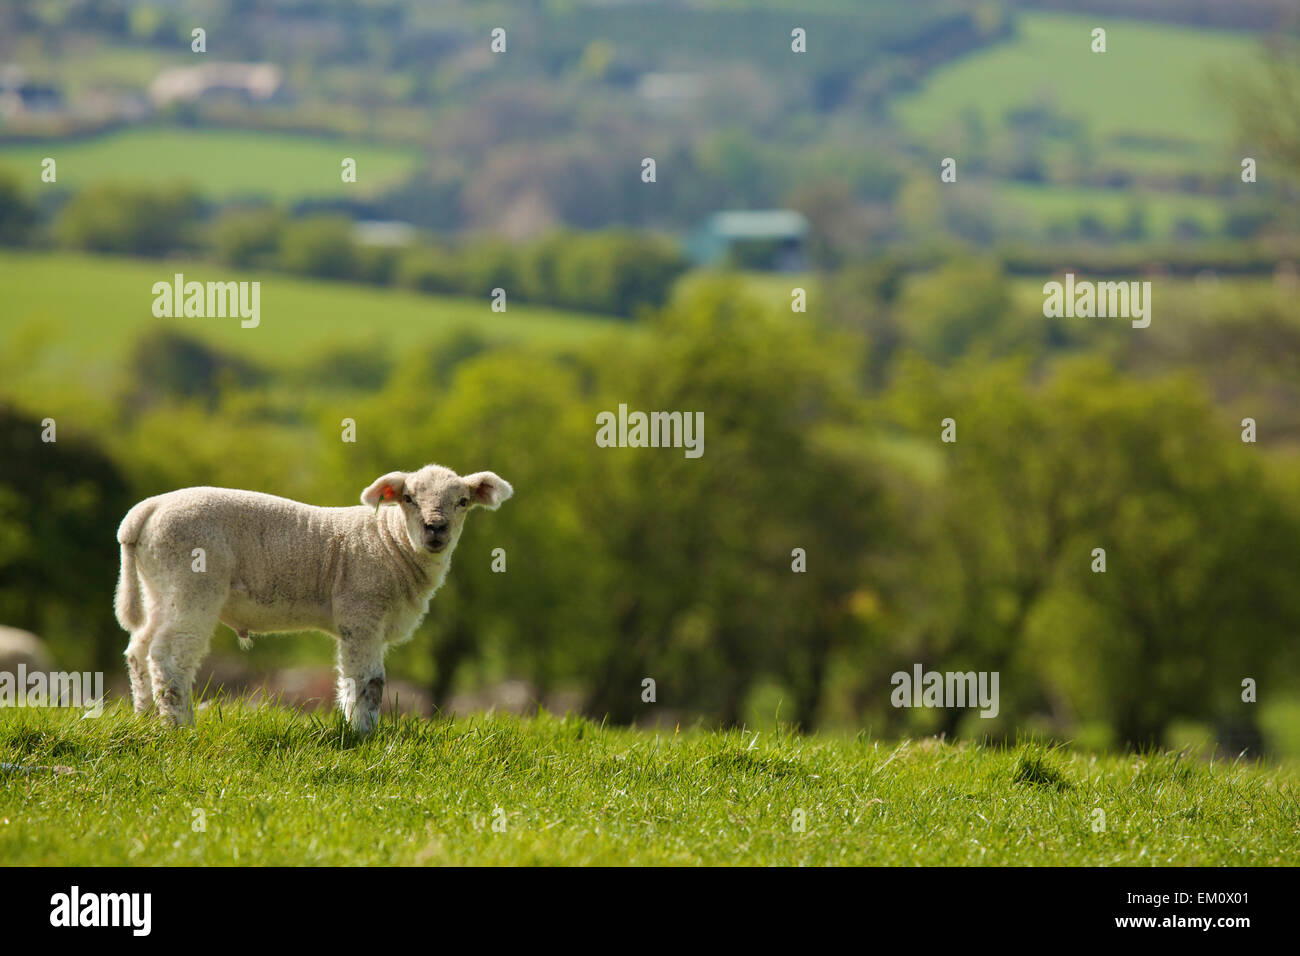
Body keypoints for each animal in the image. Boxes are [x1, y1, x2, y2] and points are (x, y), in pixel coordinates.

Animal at [114, 464, 512, 732]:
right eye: (409, 499)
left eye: (462, 501)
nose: (435, 528)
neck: (391, 542)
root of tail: (144, 513)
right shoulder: (361, 612)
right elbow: (368, 682)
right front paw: (363, 734)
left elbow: (362, 681)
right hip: (192, 582)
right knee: (168, 655)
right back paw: (179, 727)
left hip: (158, 587)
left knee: (139, 648)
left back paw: (144, 718)